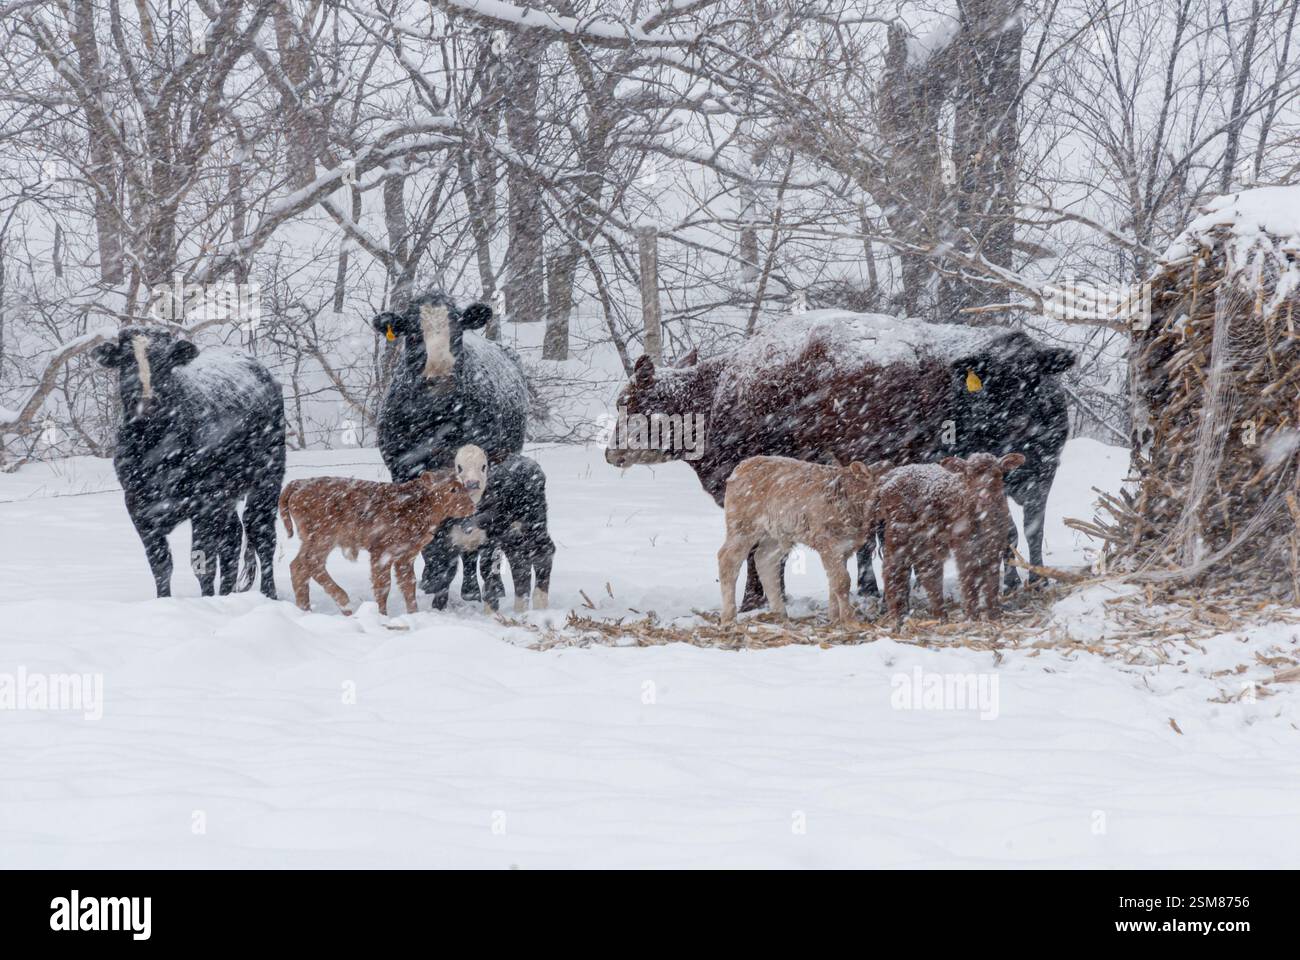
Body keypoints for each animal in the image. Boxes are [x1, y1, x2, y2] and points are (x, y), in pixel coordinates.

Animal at [92, 326, 285, 598]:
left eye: (166, 362)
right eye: (127, 362)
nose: (147, 403)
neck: (155, 446)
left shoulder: (202, 502)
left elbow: (201, 561)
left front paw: (206, 601)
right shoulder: (137, 504)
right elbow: (160, 563)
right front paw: (165, 601)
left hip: (268, 476)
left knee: (261, 533)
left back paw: (269, 594)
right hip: (225, 496)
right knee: (233, 539)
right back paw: (226, 595)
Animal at [370, 291, 528, 597]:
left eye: (457, 329)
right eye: (413, 332)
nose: (440, 373)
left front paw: (473, 587)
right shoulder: (404, 470)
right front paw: (433, 578)